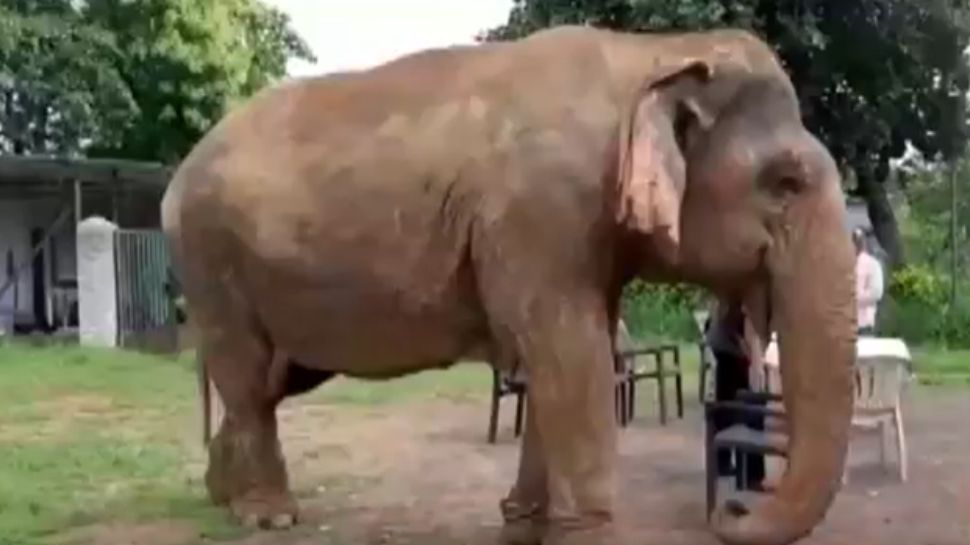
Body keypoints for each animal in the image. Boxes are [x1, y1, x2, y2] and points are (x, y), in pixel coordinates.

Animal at [161, 24, 857, 545]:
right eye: (786, 184)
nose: (732, 511)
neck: (650, 55)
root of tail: (175, 178)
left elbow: (564, 360)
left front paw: (524, 529)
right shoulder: (540, 214)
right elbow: (571, 356)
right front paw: (584, 538)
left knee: (273, 381)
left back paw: (221, 497)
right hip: (211, 257)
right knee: (247, 376)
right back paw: (269, 515)